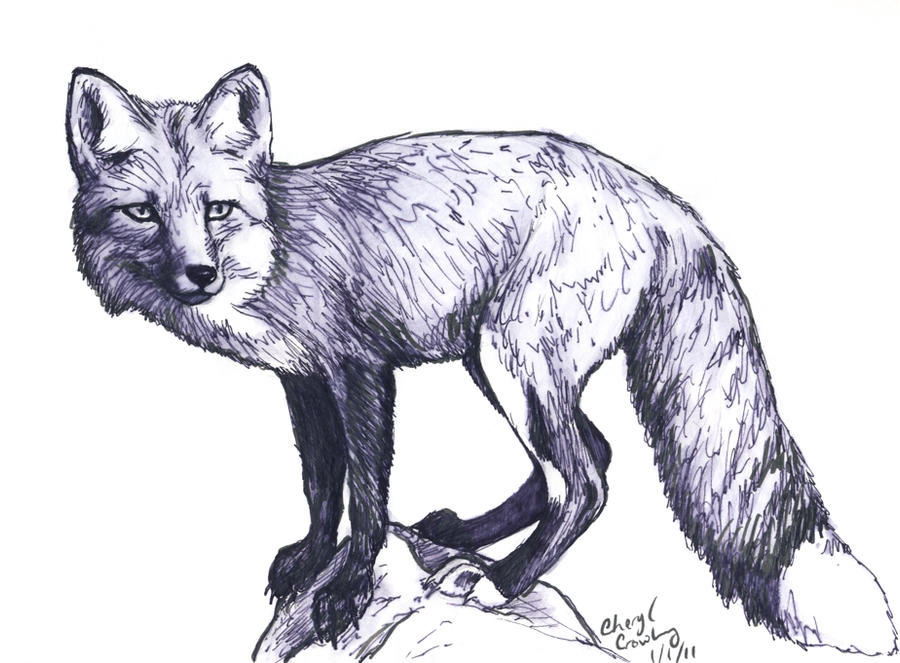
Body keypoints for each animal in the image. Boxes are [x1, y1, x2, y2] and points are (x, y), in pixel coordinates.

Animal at [66, 64, 896, 655]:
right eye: (143, 212)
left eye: (215, 210)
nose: (197, 275)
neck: (276, 248)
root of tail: (666, 204)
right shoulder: (302, 379)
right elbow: (321, 486)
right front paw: (310, 560)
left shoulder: (360, 370)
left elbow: (366, 495)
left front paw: (347, 588)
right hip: (496, 365)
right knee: (587, 456)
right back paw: (468, 536)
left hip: (511, 361)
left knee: (586, 480)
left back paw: (503, 579)